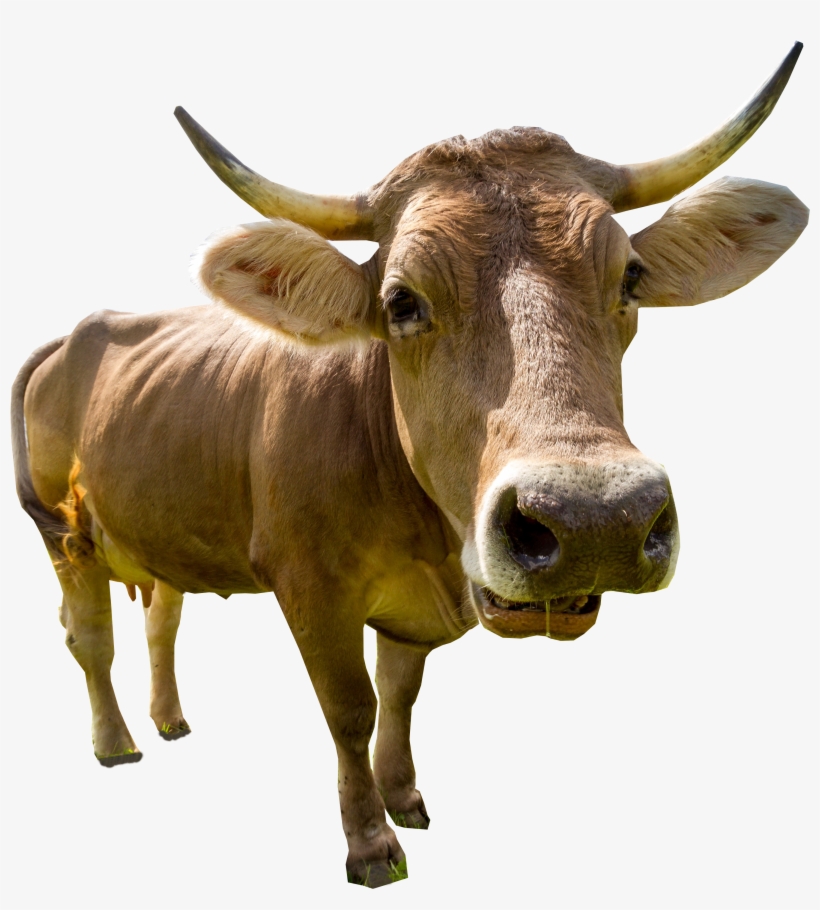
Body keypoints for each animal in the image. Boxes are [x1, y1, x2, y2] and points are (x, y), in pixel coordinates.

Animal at [11, 43, 807, 888]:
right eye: (401, 301)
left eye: (630, 278)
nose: (596, 520)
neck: (423, 535)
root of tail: (78, 331)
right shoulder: (309, 585)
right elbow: (350, 708)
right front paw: (369, 841)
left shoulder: (409, 610)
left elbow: (400, 694)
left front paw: (405, 797)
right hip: (64, 535)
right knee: (90, 636)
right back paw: (116, 743)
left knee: (161, 617)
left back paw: (169, 721)